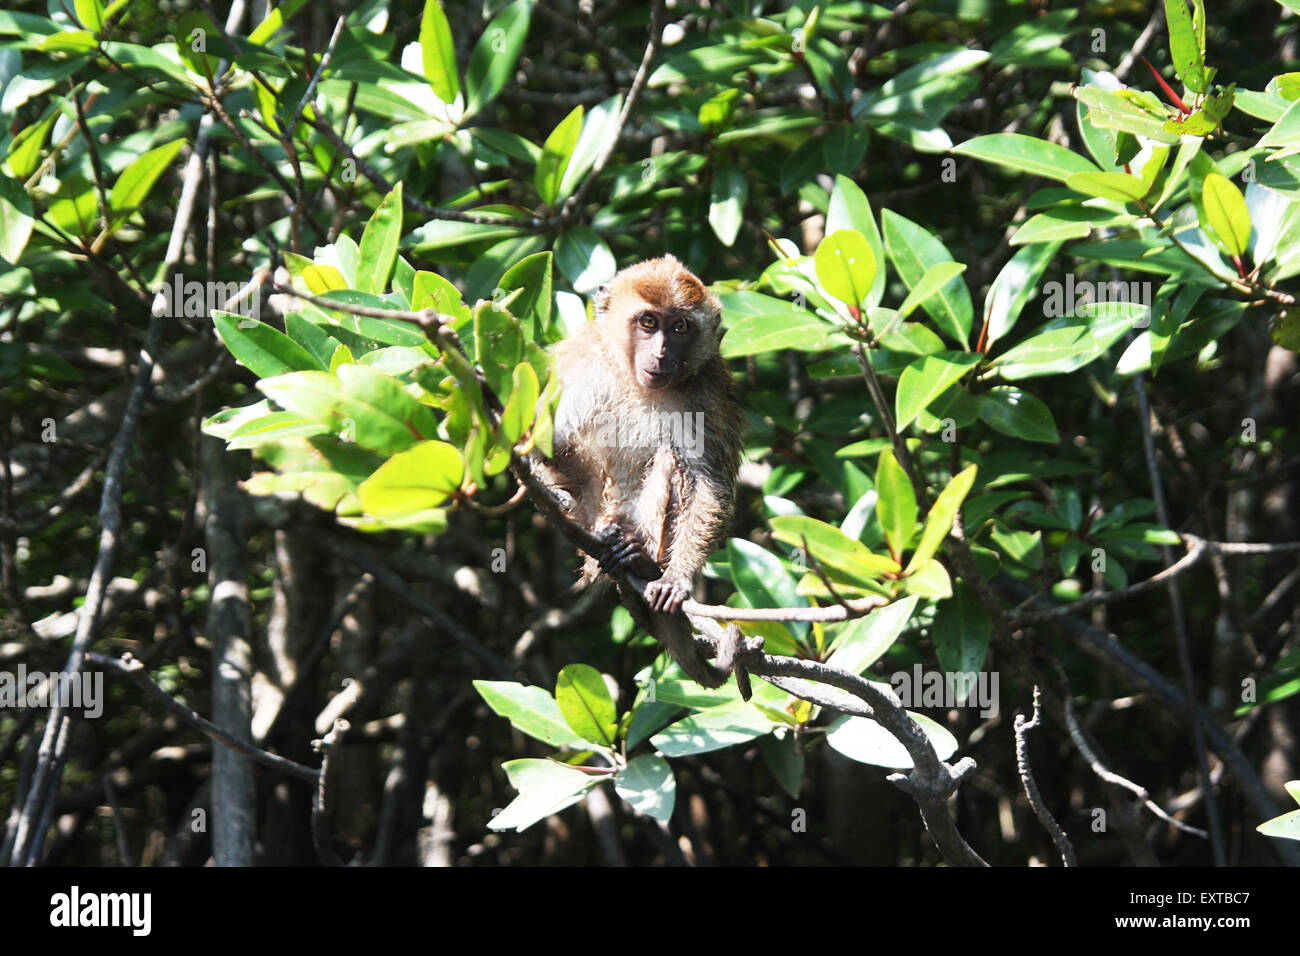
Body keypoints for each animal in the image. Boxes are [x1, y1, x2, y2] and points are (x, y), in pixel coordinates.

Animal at [533, 256, 746, 689]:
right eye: (648, 323)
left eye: (680, 327)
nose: (662, 352)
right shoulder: (580, 361)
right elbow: (548, 446)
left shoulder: (708, 392)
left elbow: (710, 482)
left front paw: (678, 578)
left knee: (672, 460)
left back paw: (639, 558)